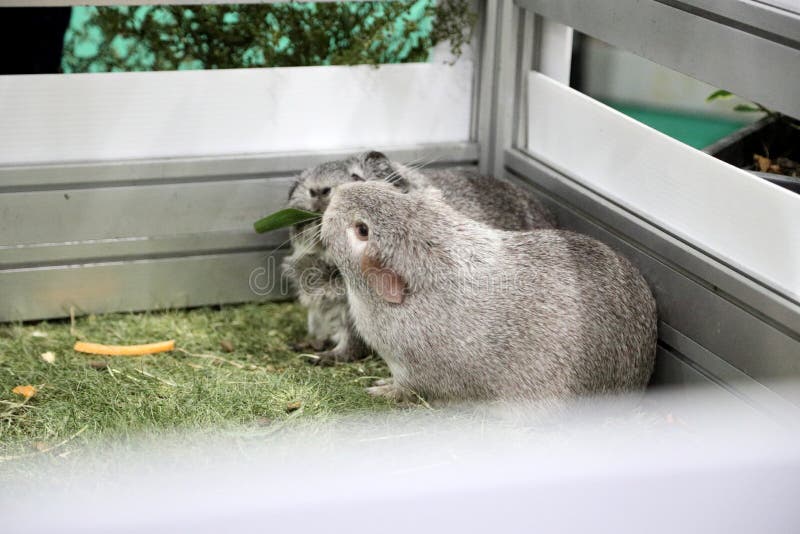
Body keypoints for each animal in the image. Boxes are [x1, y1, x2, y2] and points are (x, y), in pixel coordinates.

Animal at [320, 180, 657, 403]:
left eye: (362, 230)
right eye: (401, 192)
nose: (338, 191)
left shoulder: (411, 370)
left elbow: (405, 387)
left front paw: (377, 389)